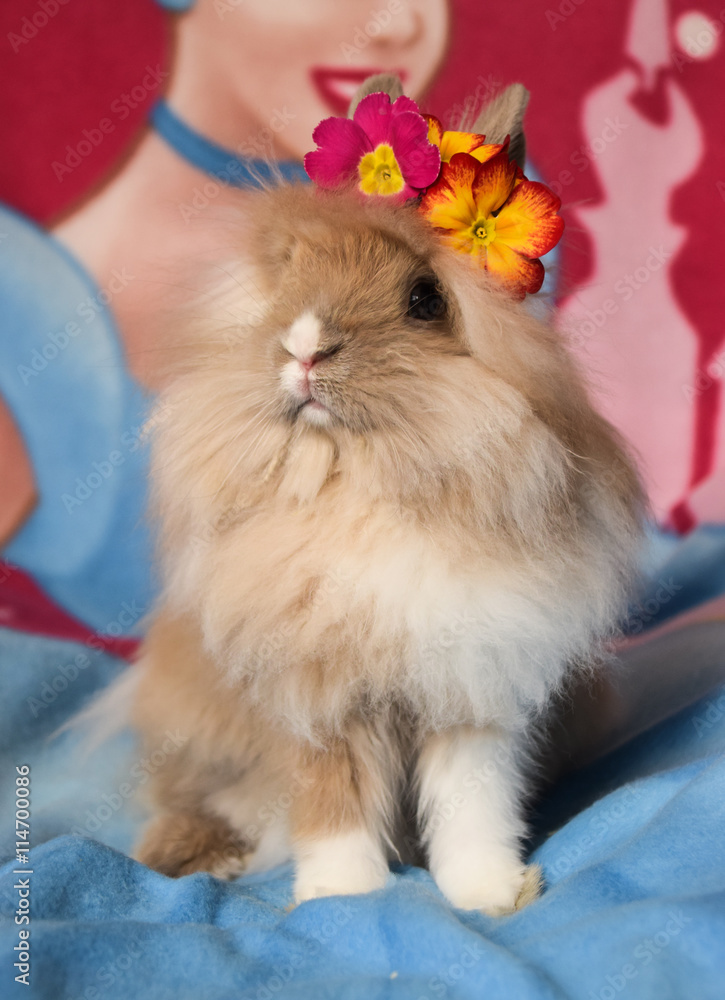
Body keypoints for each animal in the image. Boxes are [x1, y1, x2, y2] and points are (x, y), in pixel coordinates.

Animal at [127, 79, 644, 914]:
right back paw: (194, 856)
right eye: (290, 272)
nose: (303, 349)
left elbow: (472, 805)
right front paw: (341, 899)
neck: (367, 488)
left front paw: (490, 894)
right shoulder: (317, 699)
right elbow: (330, 804)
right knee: (188, 796)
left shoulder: (470, 687)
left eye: (424, 298)